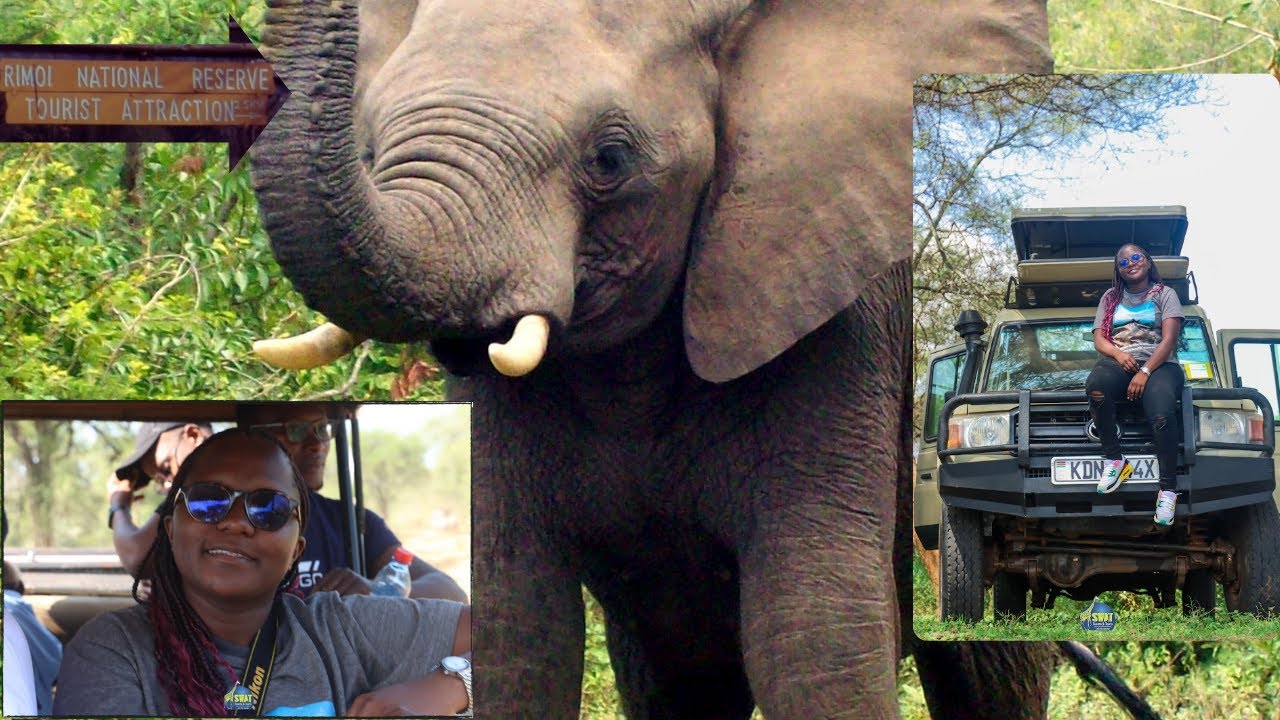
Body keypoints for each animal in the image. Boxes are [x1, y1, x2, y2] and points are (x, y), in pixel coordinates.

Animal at [250, 0, 1056, 716]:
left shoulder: (837, 319)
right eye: (368, 150)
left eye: (611, 159)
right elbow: (516, 624)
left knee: (988, 675)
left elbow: (813, 629)